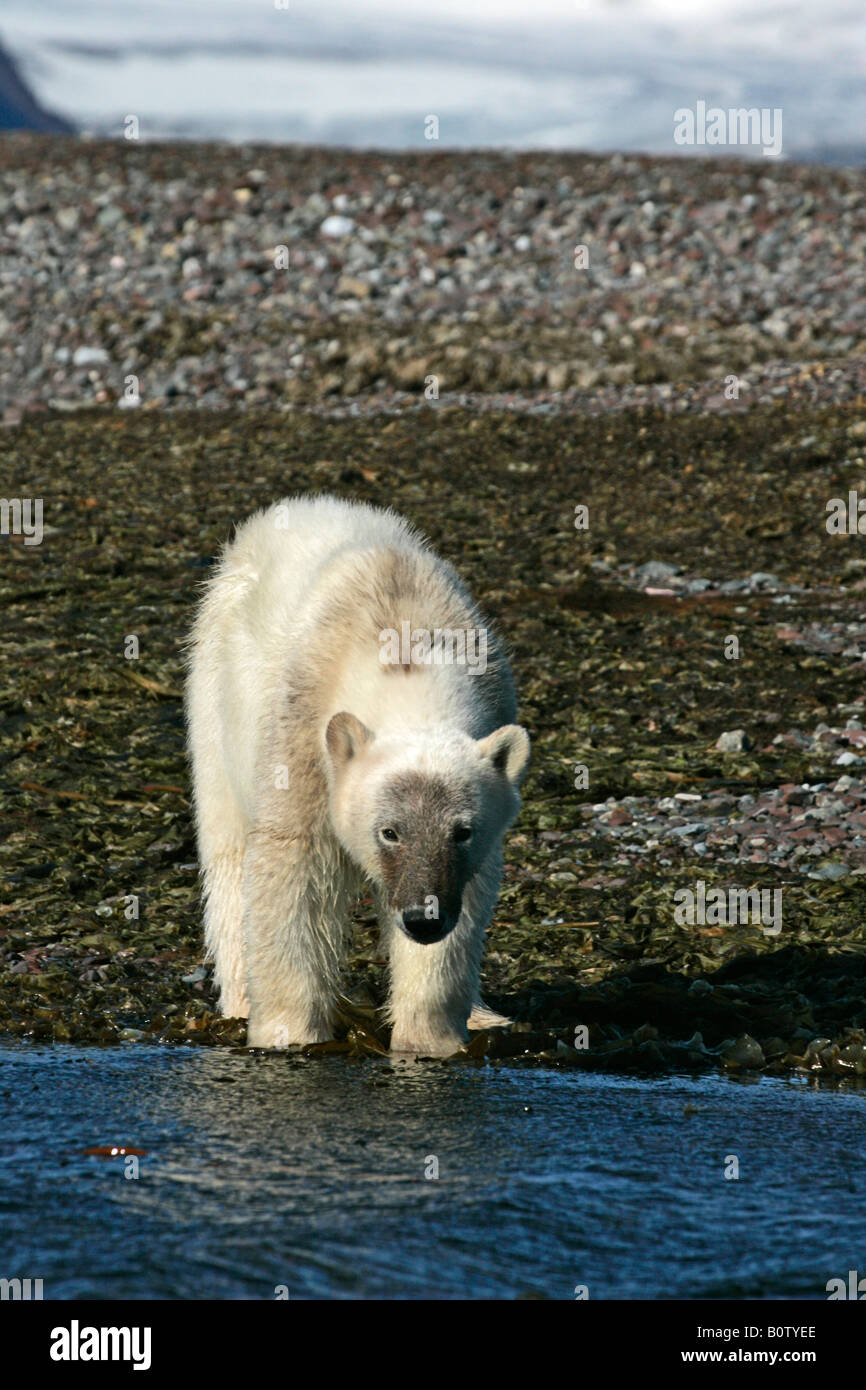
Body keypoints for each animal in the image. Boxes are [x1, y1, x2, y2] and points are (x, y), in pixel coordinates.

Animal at [185, 494, 530, 1056]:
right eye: (389, 831)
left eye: (462, 831)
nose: (423, 919)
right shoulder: (302, 731)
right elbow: (292, 867)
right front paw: (290, 1032)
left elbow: (467, 905)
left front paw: (429, 1039)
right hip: (215, 687)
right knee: (229, 850)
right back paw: (238, 997)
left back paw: (485, 1016)